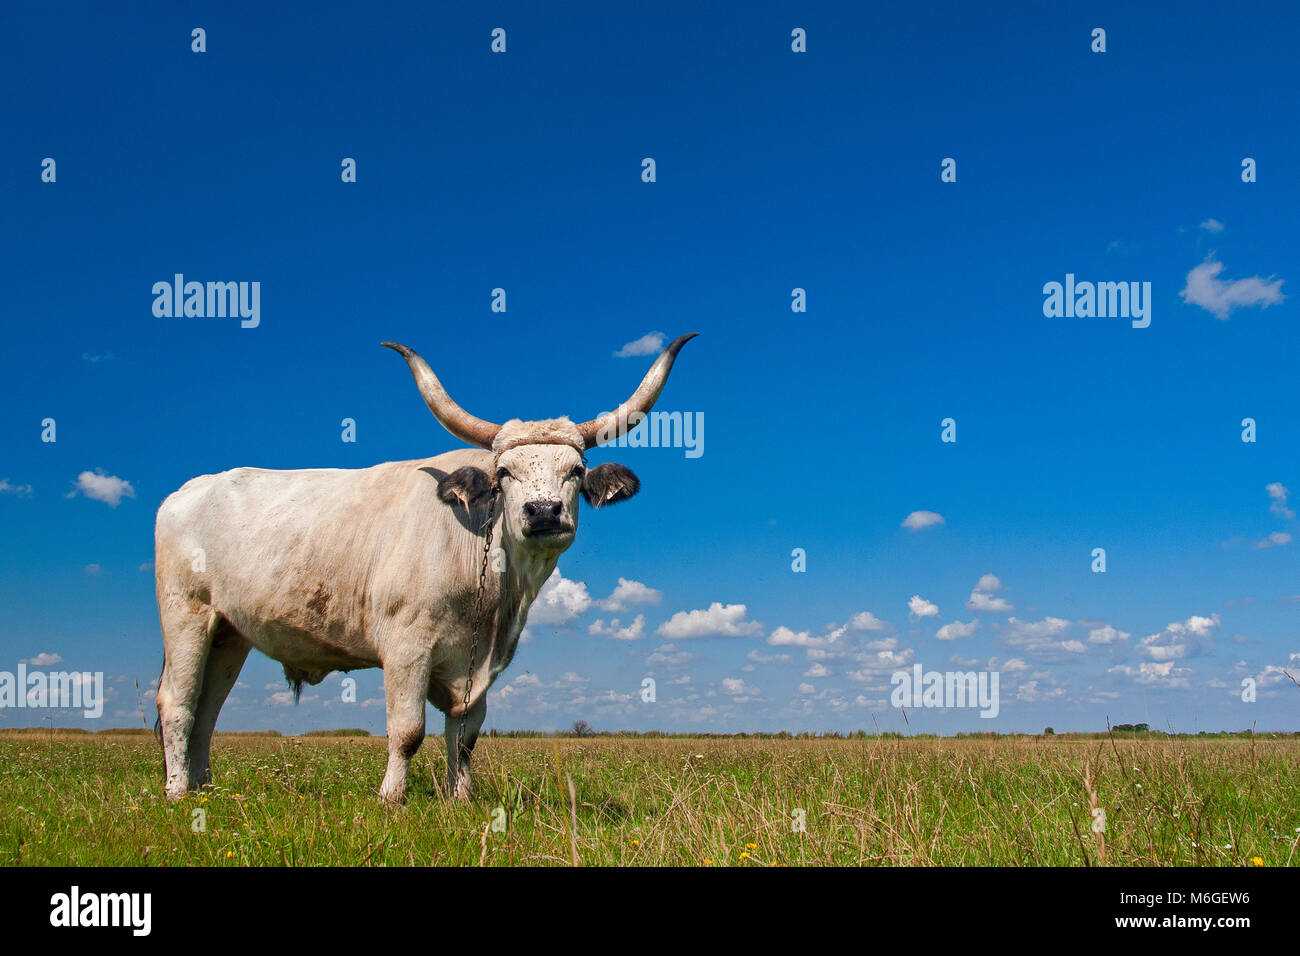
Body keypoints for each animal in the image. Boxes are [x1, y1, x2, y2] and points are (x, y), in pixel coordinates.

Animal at [153, 332, 696, 803]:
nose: (544, 512)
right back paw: (178, 793)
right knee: (178, 704)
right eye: (504, 473)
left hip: (230, 632)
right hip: (186, 615)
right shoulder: (405, 647)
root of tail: (188, 490)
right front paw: (391, 798)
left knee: (207, 708)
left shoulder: (477, 666)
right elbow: (408, 730)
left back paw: (204, 787)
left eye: (576, 471)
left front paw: (462, 798)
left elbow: (465, 736)